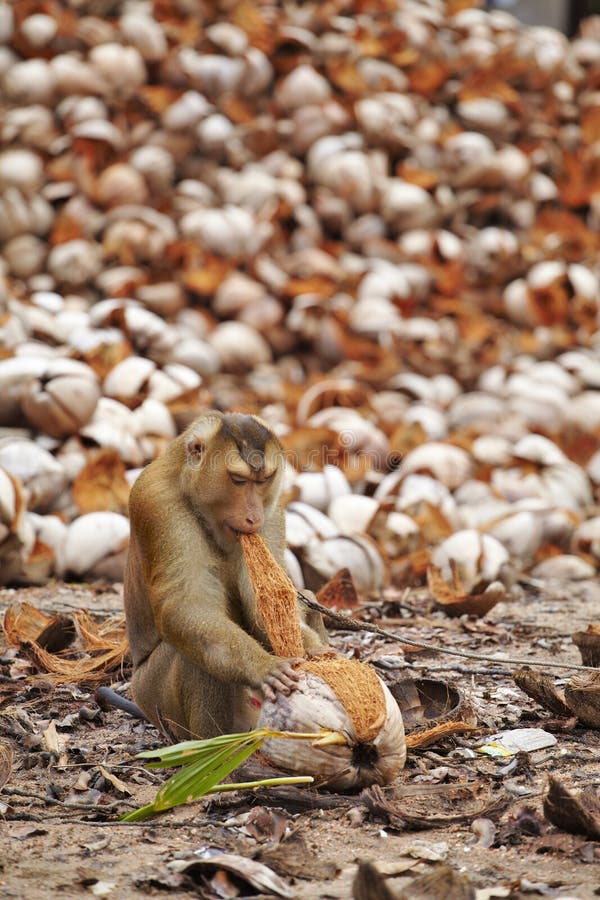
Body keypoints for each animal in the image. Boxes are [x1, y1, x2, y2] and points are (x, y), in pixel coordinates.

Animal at [124, 411, 328, 742]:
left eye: (263, 480)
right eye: (238, 480)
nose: (253, 517)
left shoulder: (273, 510)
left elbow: (267, 602)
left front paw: (312, 650)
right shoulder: (157, 503)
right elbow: (187, 606)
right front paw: (263, 666)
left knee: (307, 598)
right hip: (154, 699)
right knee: (194, 654)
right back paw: (212, 748)